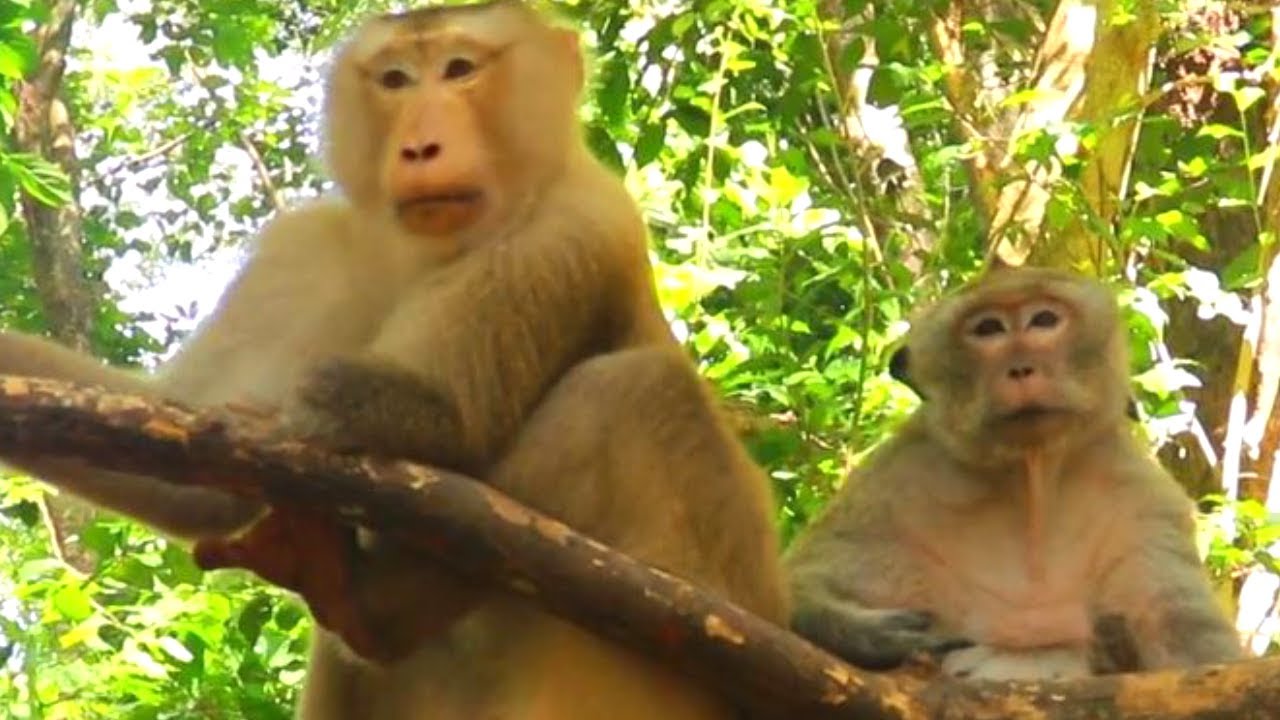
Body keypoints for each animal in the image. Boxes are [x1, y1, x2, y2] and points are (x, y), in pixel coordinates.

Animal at [0, 2, 787, 718]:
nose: (420, 147)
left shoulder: (577, 223)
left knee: (632, 389)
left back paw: (378, 608)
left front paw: (332, 404)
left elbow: (444, 416)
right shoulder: (307, 251)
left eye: (461, 69)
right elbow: (194, 470)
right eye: (396, 79)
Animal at [783, 265, 1242, 681]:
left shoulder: (1142, 504)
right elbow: (795, 585)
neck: (1029, 478)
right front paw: (867, 634)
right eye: (988, 329)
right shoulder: (897, 486)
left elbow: (1199, 658)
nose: (1021, 368)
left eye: (1043, 320)